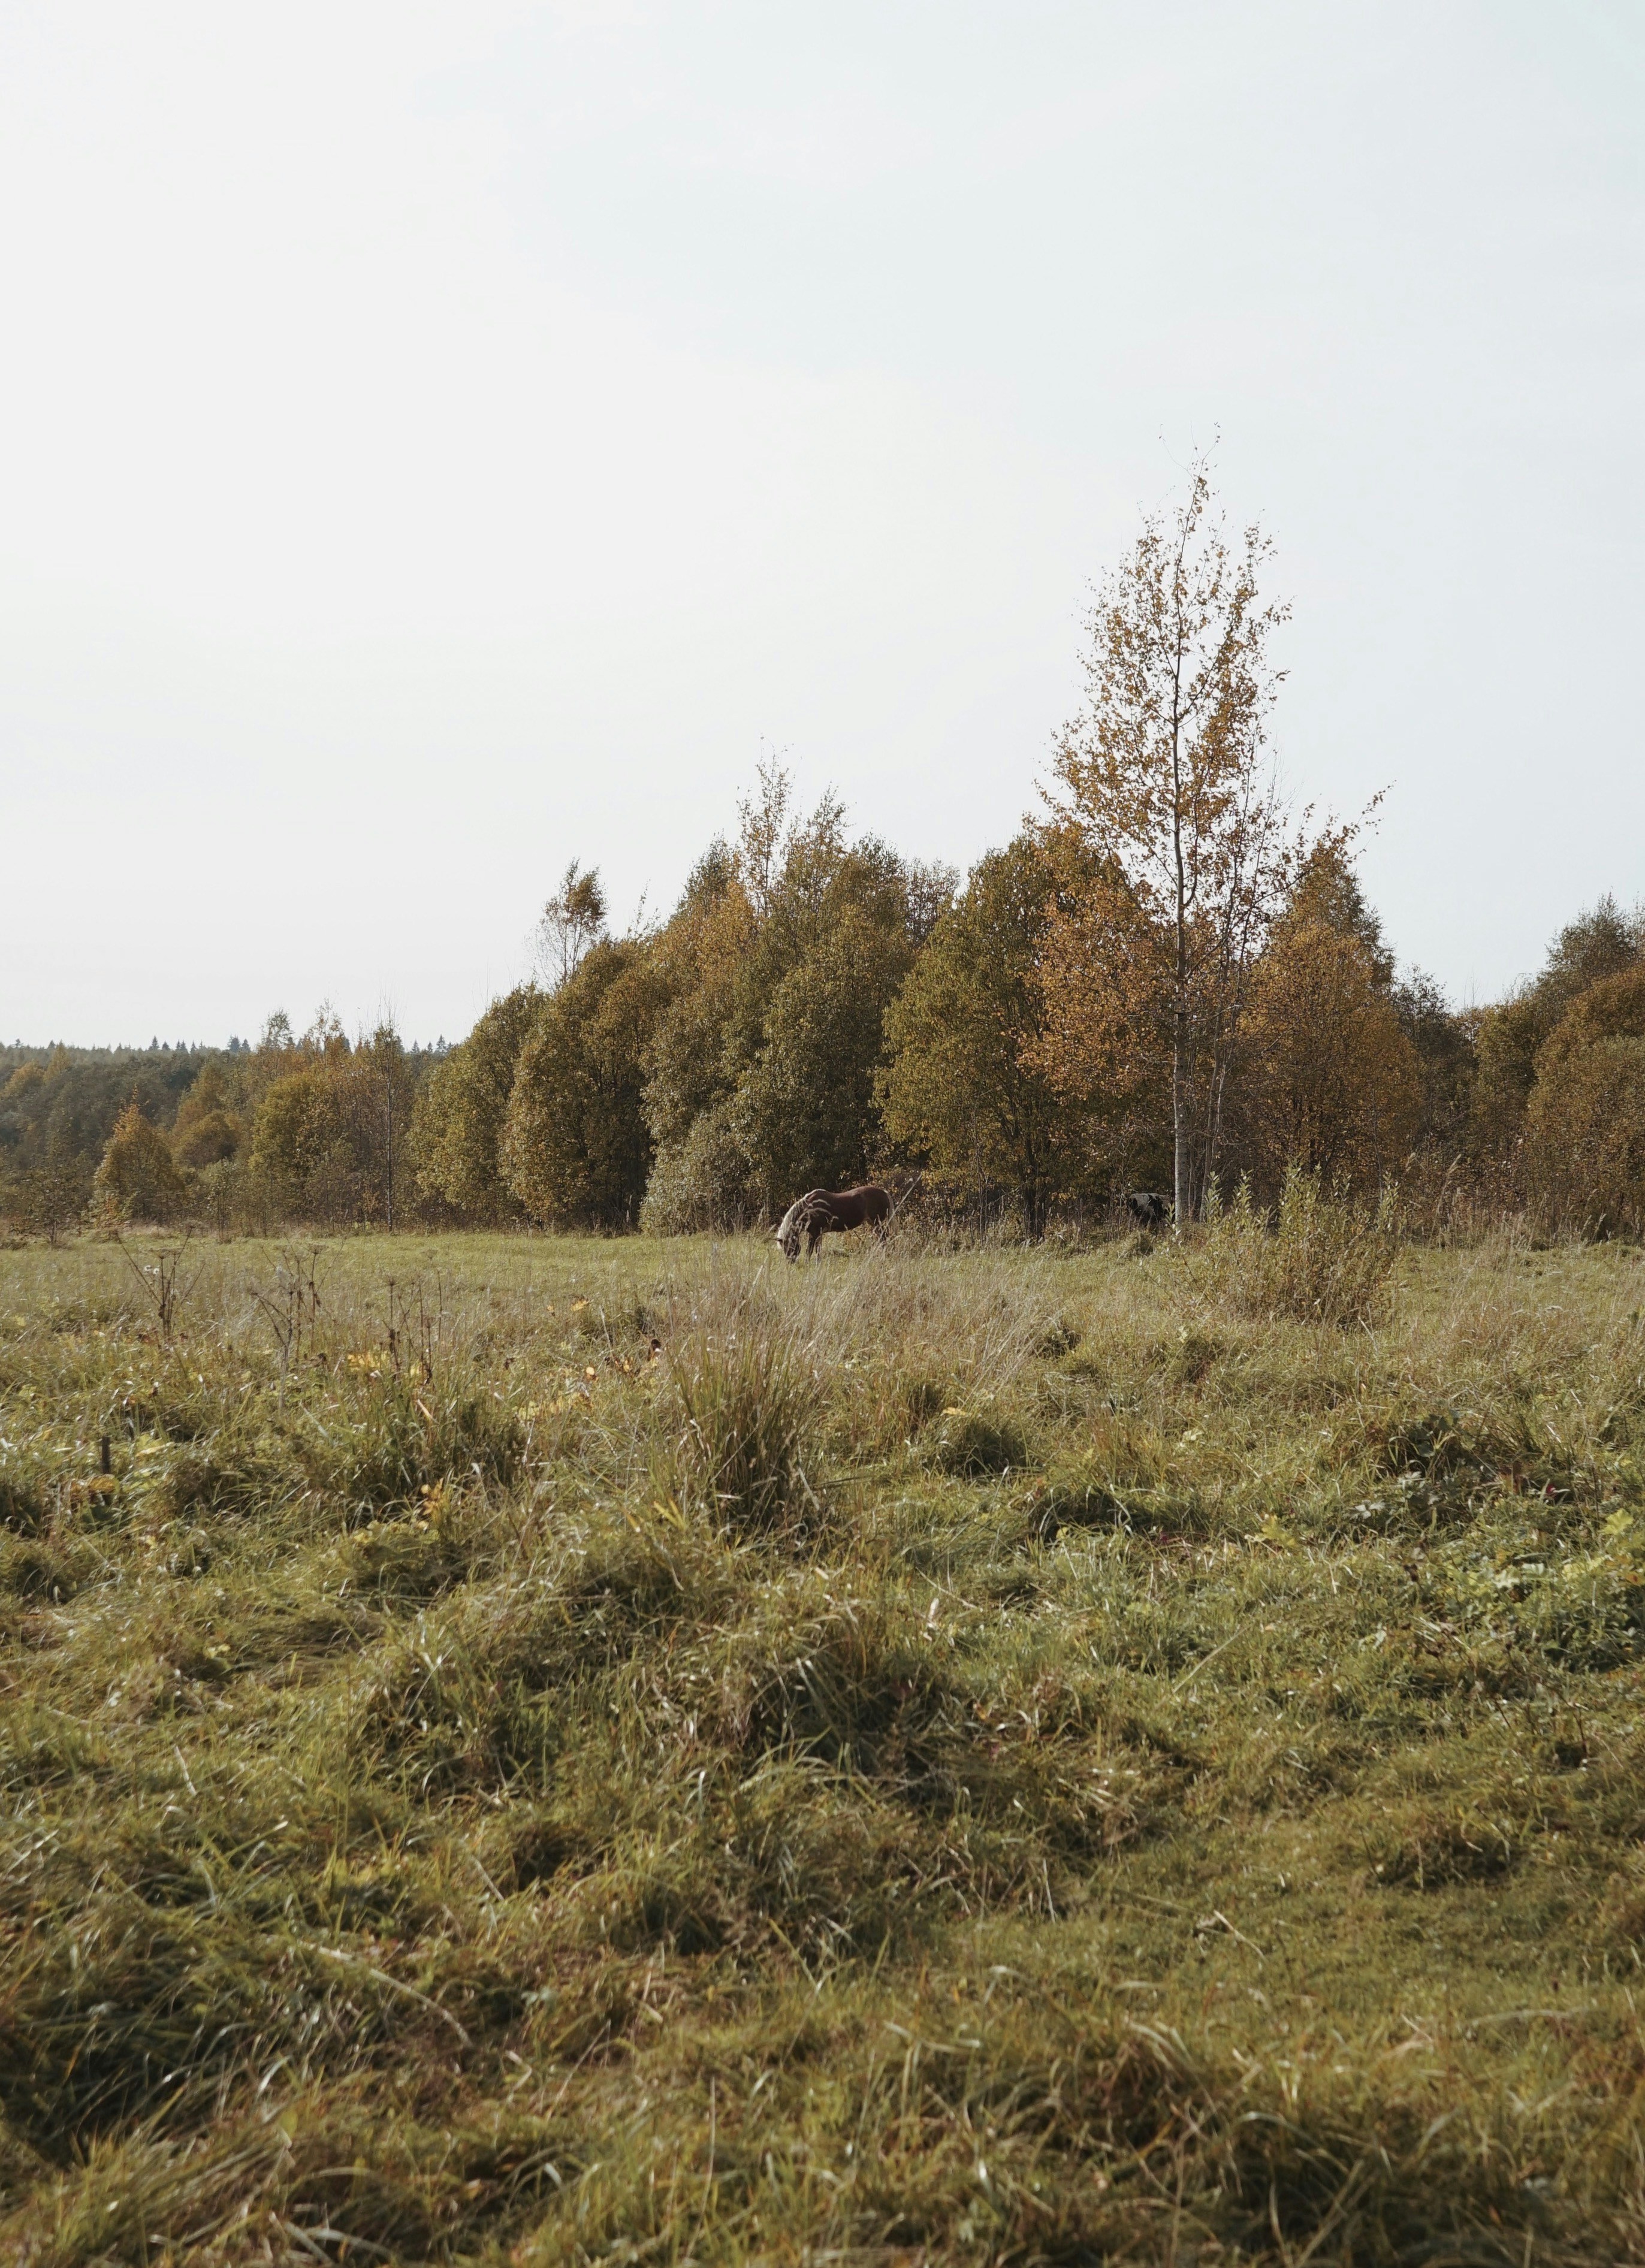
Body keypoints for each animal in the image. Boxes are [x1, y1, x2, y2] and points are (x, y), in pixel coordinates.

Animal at [775, 1184, 892, 1261]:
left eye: (789, 1246)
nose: (791, 1262)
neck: (809, 1209)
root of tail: (885, 1193)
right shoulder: (819, 1234)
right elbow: (818, 1251)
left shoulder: (814, 1233)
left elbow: (809, 1251)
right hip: (873, 1223)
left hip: (877, 1223)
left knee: (884, 1239)